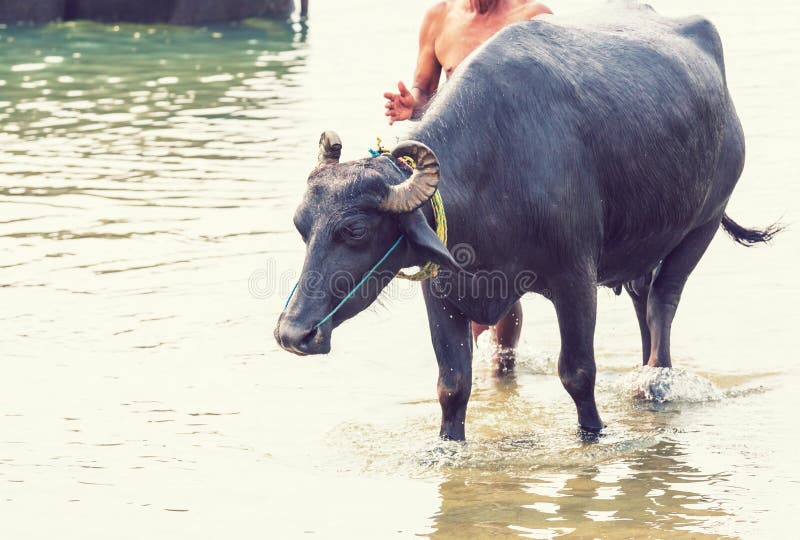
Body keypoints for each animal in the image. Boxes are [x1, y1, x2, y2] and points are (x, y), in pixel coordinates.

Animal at [274, 4, 780, 441]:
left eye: (355, 231)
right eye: (302, 226)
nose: (293, 334)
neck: (496, 173)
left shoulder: (576, 280)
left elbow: (578, 374)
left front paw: (594, 433)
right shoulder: (441, 292)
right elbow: (452, 385)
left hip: (703, 224)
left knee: (663, 301)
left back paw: (654, 380)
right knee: (642, 297)